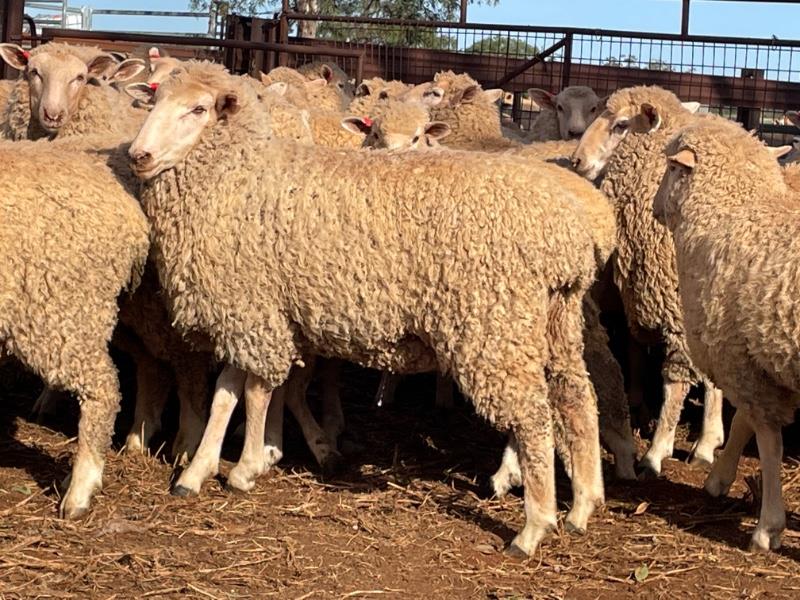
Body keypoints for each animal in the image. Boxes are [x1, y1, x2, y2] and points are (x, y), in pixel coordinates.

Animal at [128, 61, 606, 557]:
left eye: (198, 109)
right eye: (154, 100)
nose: (138, 155)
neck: (239, 173)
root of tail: (570, 237)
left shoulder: (252, 308)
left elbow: (249, 392)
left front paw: (243, 468)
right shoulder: (252, 308)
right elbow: (231, 391)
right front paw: (204, 469)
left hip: (495, 323)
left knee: (534, 417)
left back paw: (533, 527)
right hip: (555, 321)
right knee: (577, 397)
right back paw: (583, 506)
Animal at [652, 114, 800, 551]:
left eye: (671, 168)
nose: (654, 208)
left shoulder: (738, 356)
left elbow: (767, 439)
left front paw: (768, 528)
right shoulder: (755, 355)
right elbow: (742, 423)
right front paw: (719, 477)